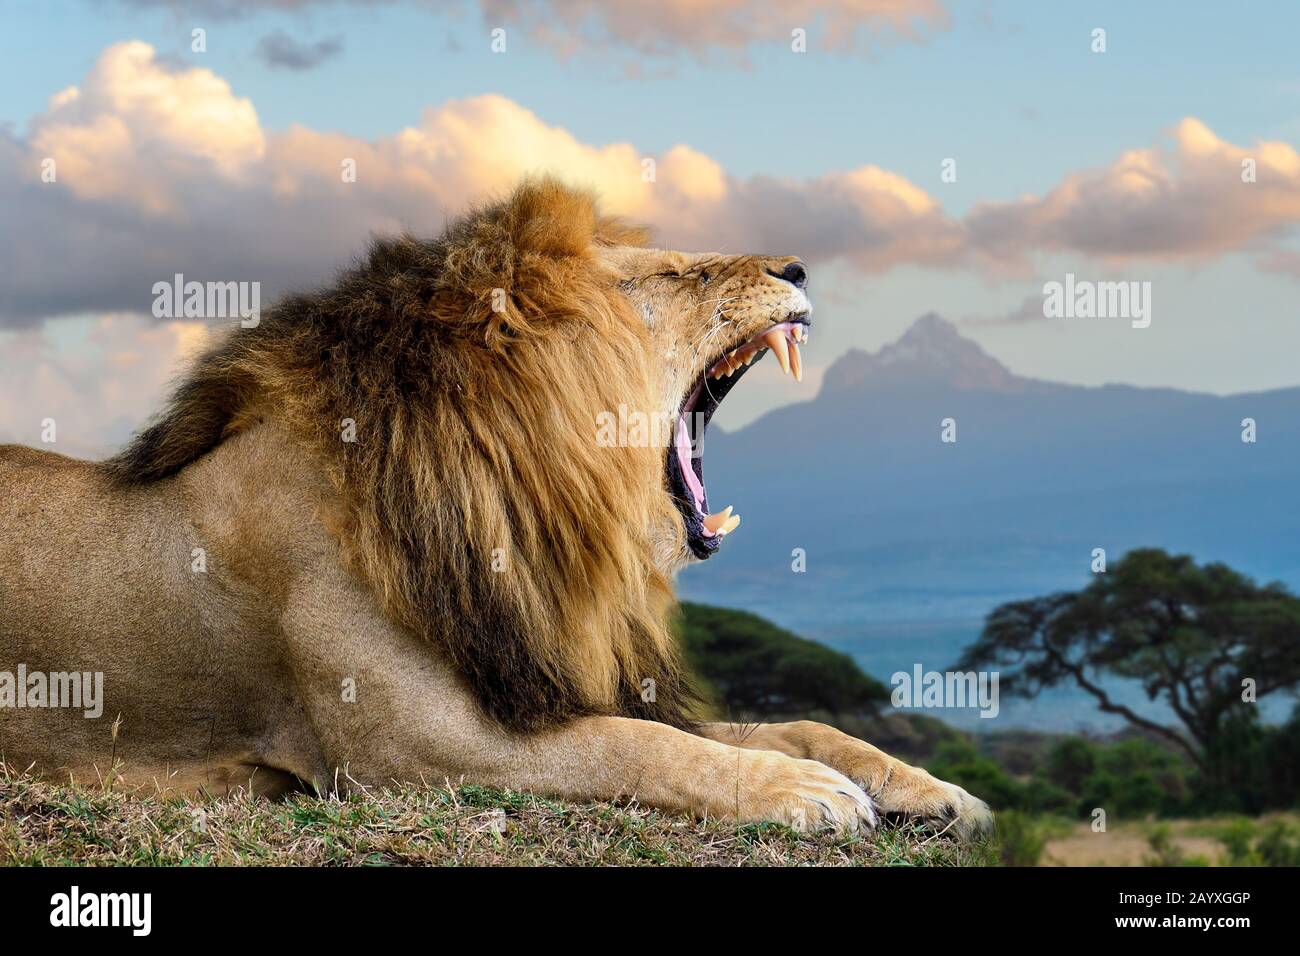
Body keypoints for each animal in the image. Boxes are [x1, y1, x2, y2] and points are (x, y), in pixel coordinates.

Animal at [0, 180, 991, 839]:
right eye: (676, 274)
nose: (796, 265)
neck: (517, 510)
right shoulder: (408, 751)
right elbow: (635, 749)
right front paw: (803, 792)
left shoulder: (543, 680)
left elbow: (790, 725)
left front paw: (928, 786)